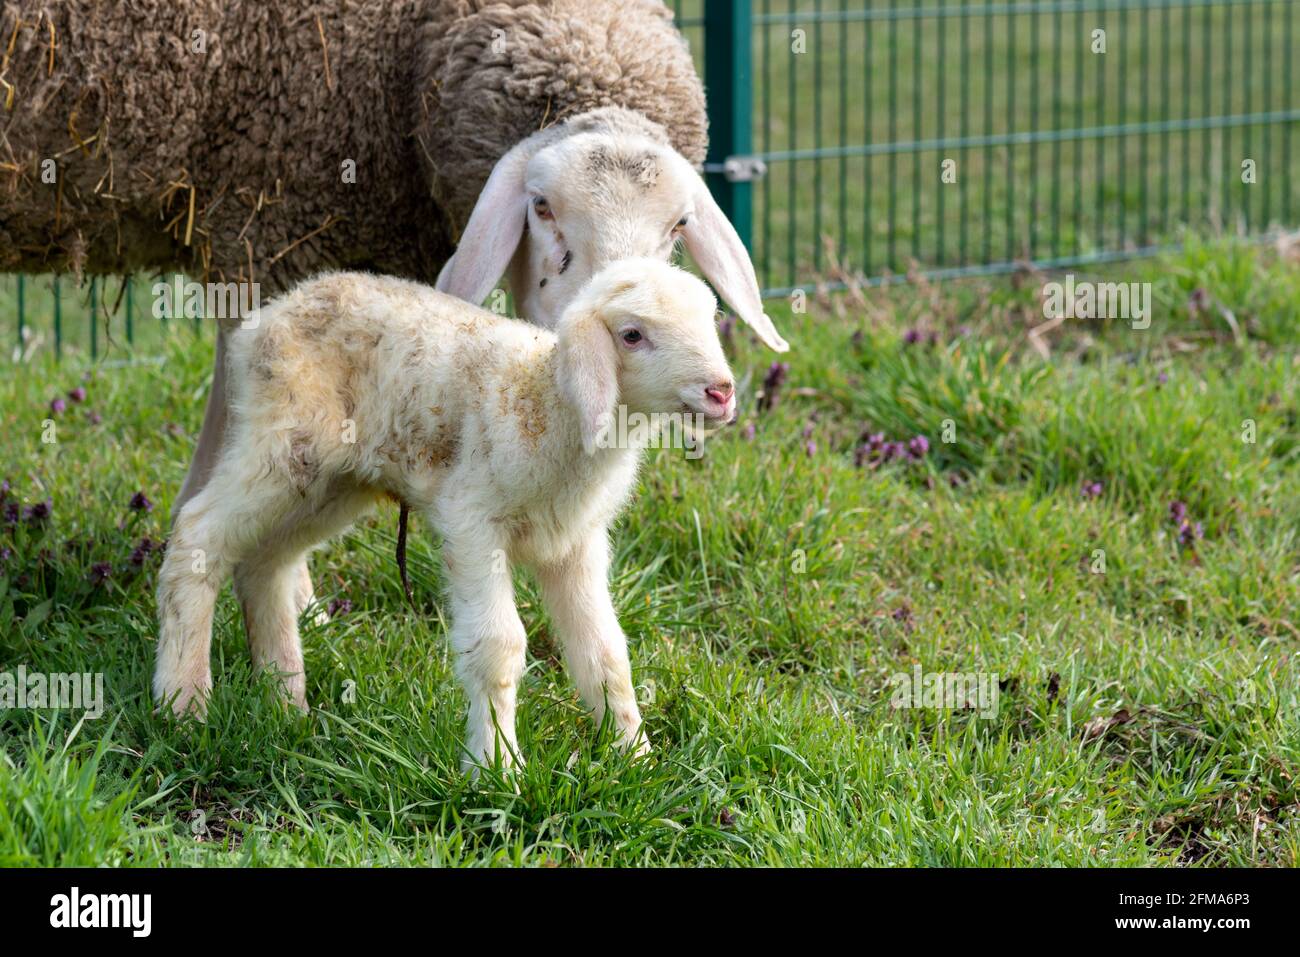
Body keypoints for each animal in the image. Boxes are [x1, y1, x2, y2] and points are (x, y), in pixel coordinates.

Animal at [153, 259, 736, 769]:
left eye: (709, 320)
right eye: (632, 335)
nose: (722, 391)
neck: (547, 402)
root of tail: (267, 316)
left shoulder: (575, 543)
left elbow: (606, 653)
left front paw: (634, 757)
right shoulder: (472, 521)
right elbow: (499, 645)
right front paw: (497, 769)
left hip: (333, 481)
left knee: (264, 565)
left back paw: (285, 705)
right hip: (280, 444)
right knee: (196, 534)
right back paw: (184, 704)